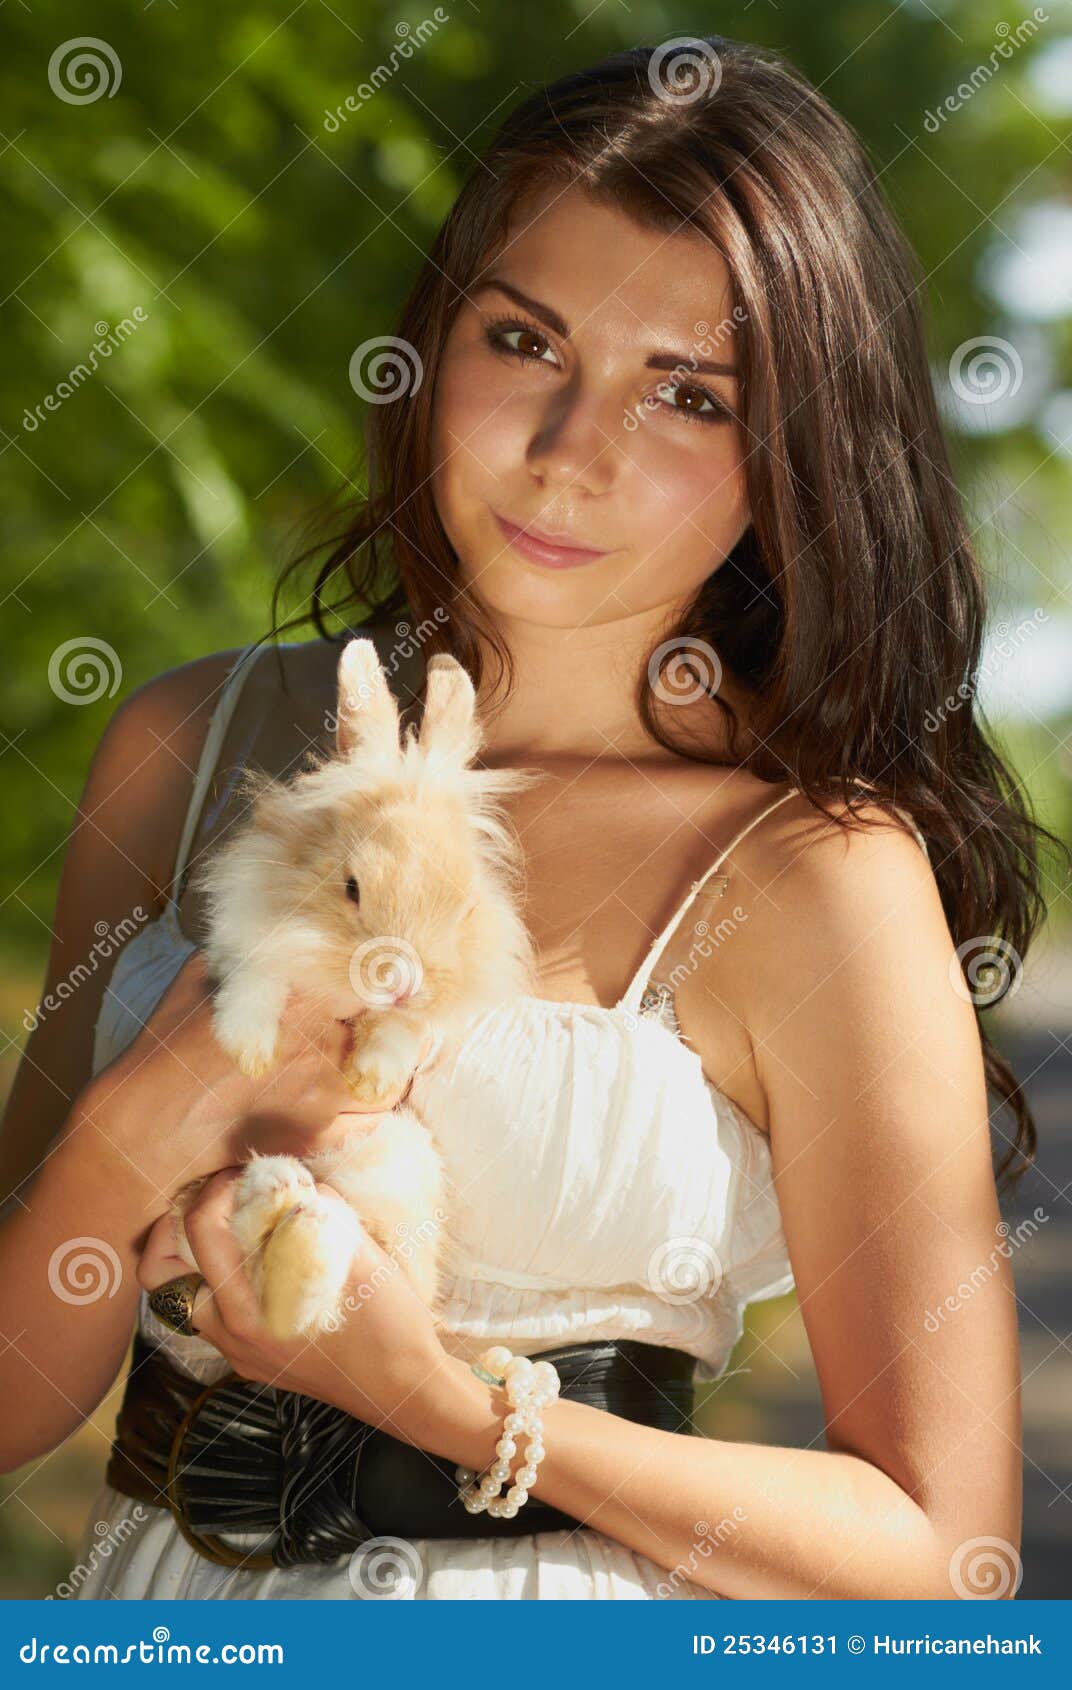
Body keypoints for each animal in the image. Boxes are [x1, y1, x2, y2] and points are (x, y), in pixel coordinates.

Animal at [165, 635, 543, 1341]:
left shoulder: (423, 1023)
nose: (399, 980)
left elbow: (402, 1032)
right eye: (351, 887)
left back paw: (300, 1255)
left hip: (397, 1166)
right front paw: (248, 1052)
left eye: (464, 908)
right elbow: (257, 982)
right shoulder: (244, 943)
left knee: (307, 1296)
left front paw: (368, 1076)